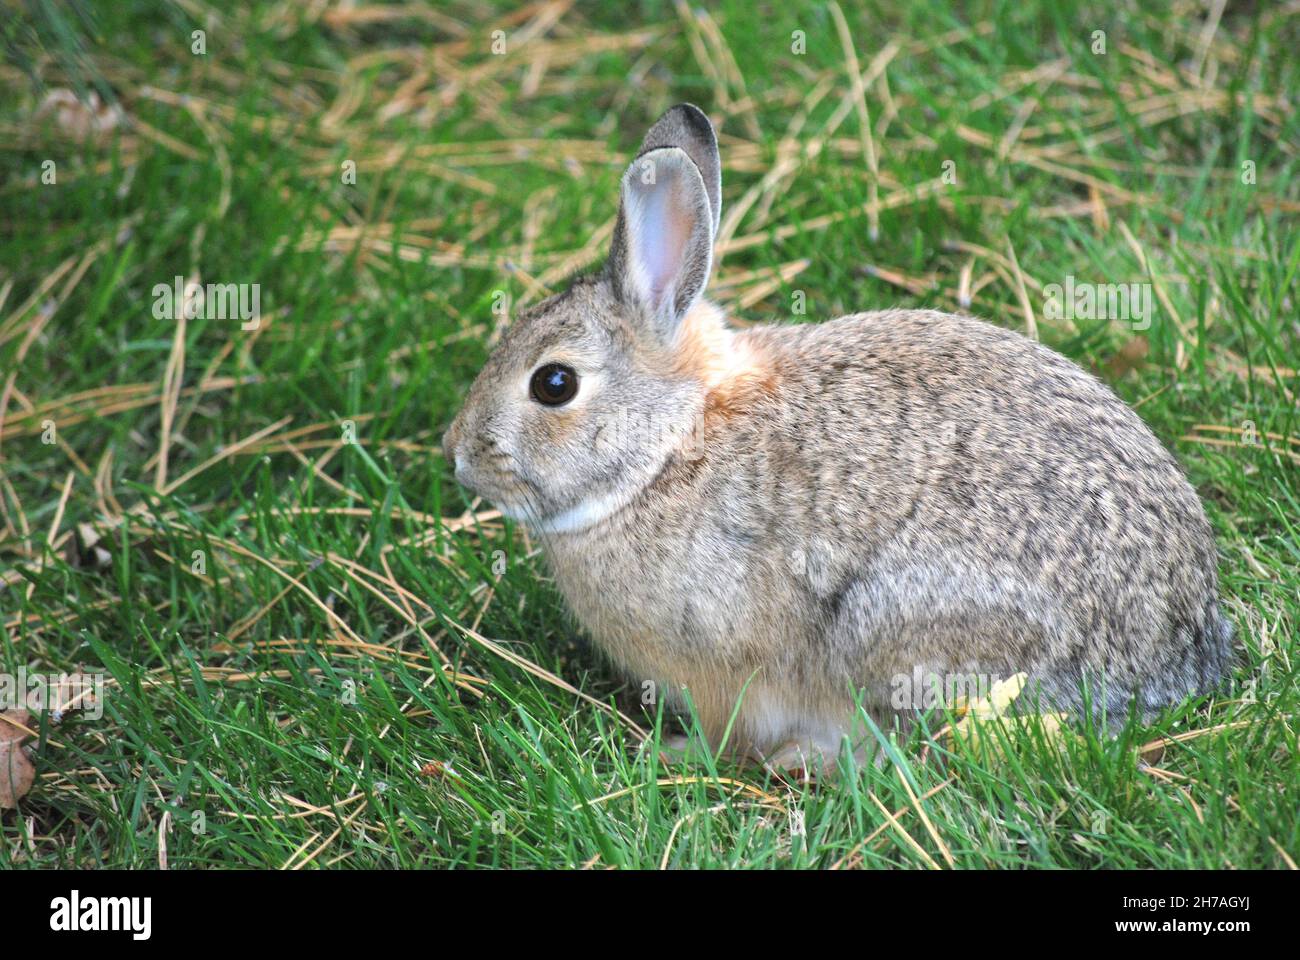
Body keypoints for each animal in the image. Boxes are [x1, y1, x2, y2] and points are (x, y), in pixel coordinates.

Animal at [442, 103, 1234, 771]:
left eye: (553, 384)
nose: (458, 456)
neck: (668, 449)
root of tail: (1176, 665)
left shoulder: (723, 664)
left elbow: (726, 726)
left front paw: (674, 752)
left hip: (899, 632)